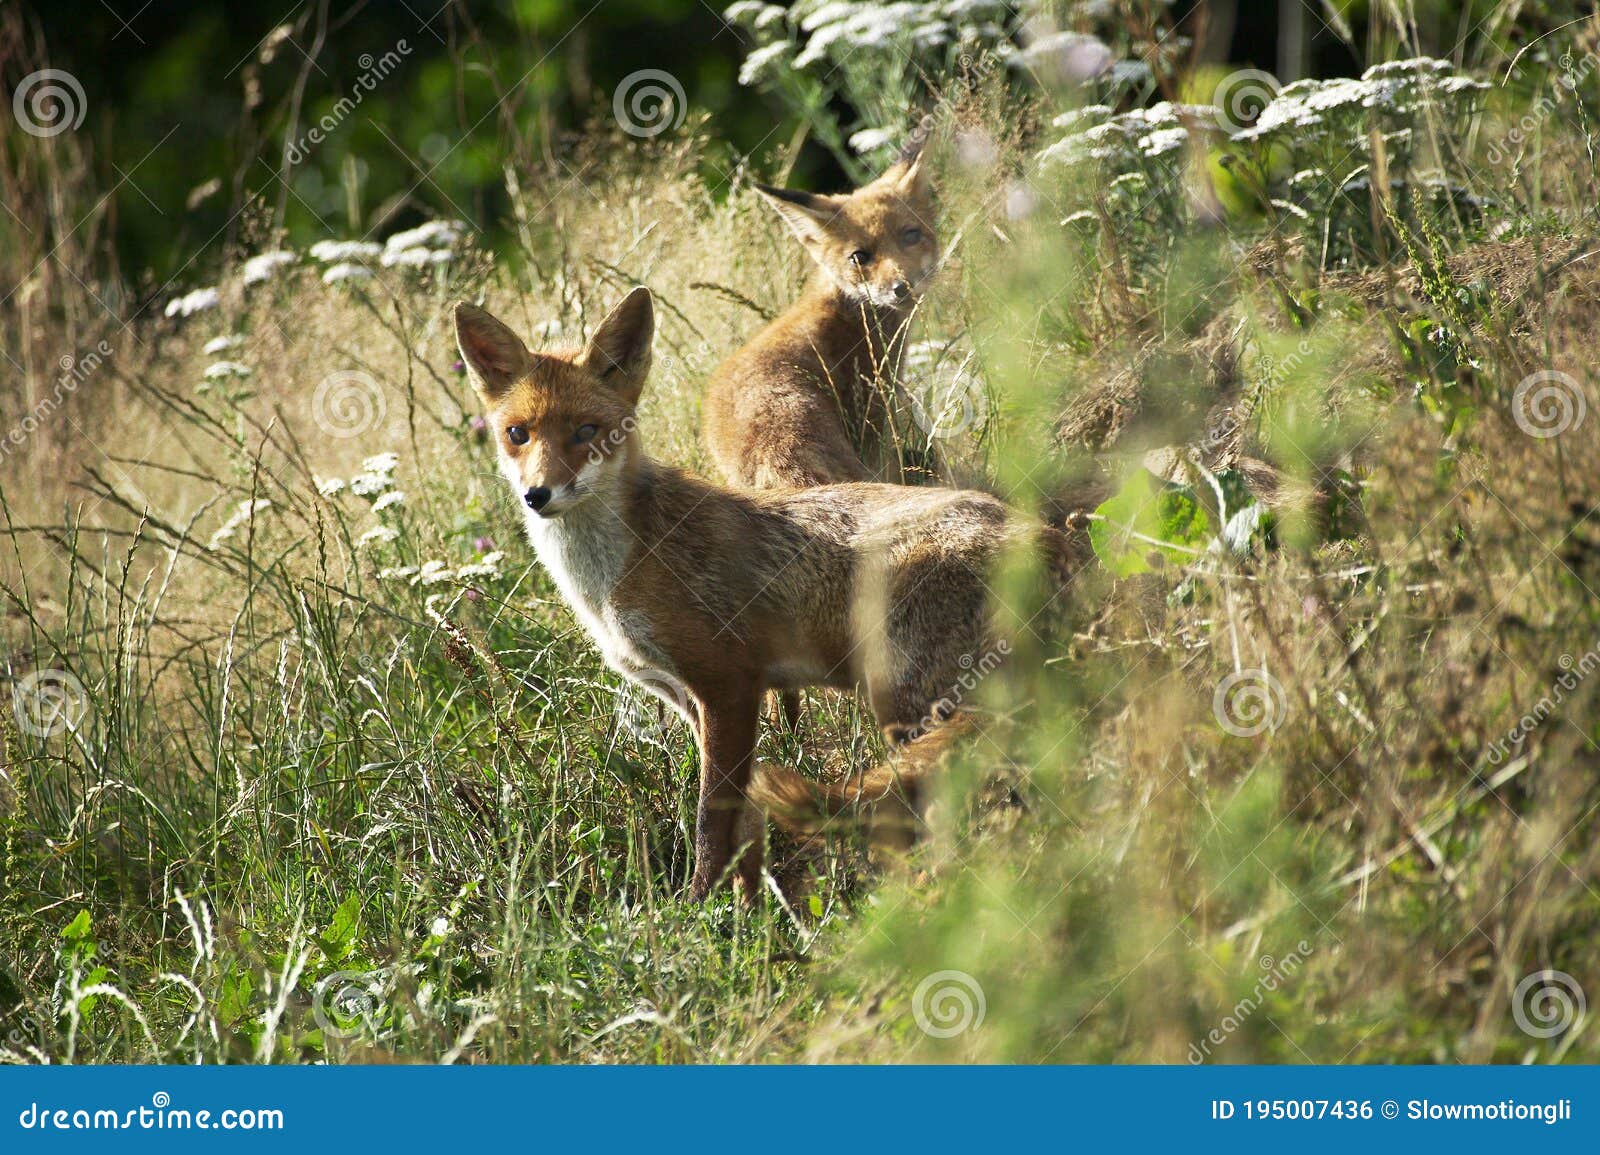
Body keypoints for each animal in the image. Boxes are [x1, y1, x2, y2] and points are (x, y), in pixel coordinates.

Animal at [453, 287, 1090, 900]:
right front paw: (747, 917)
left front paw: (695, 911)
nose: (538, 494)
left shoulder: (729, 685)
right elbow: (746, 833)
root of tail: (1043, 534)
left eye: (586, 432)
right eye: (517, 435)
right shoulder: (694, 701)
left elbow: (712, 824)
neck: (613, 577)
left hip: (909, 701)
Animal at [702, 148, 940, 491]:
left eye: (910, 235)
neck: (850, 311)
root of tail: (774, 452)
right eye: (859, 256)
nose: (901, 287)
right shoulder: (874, 415)